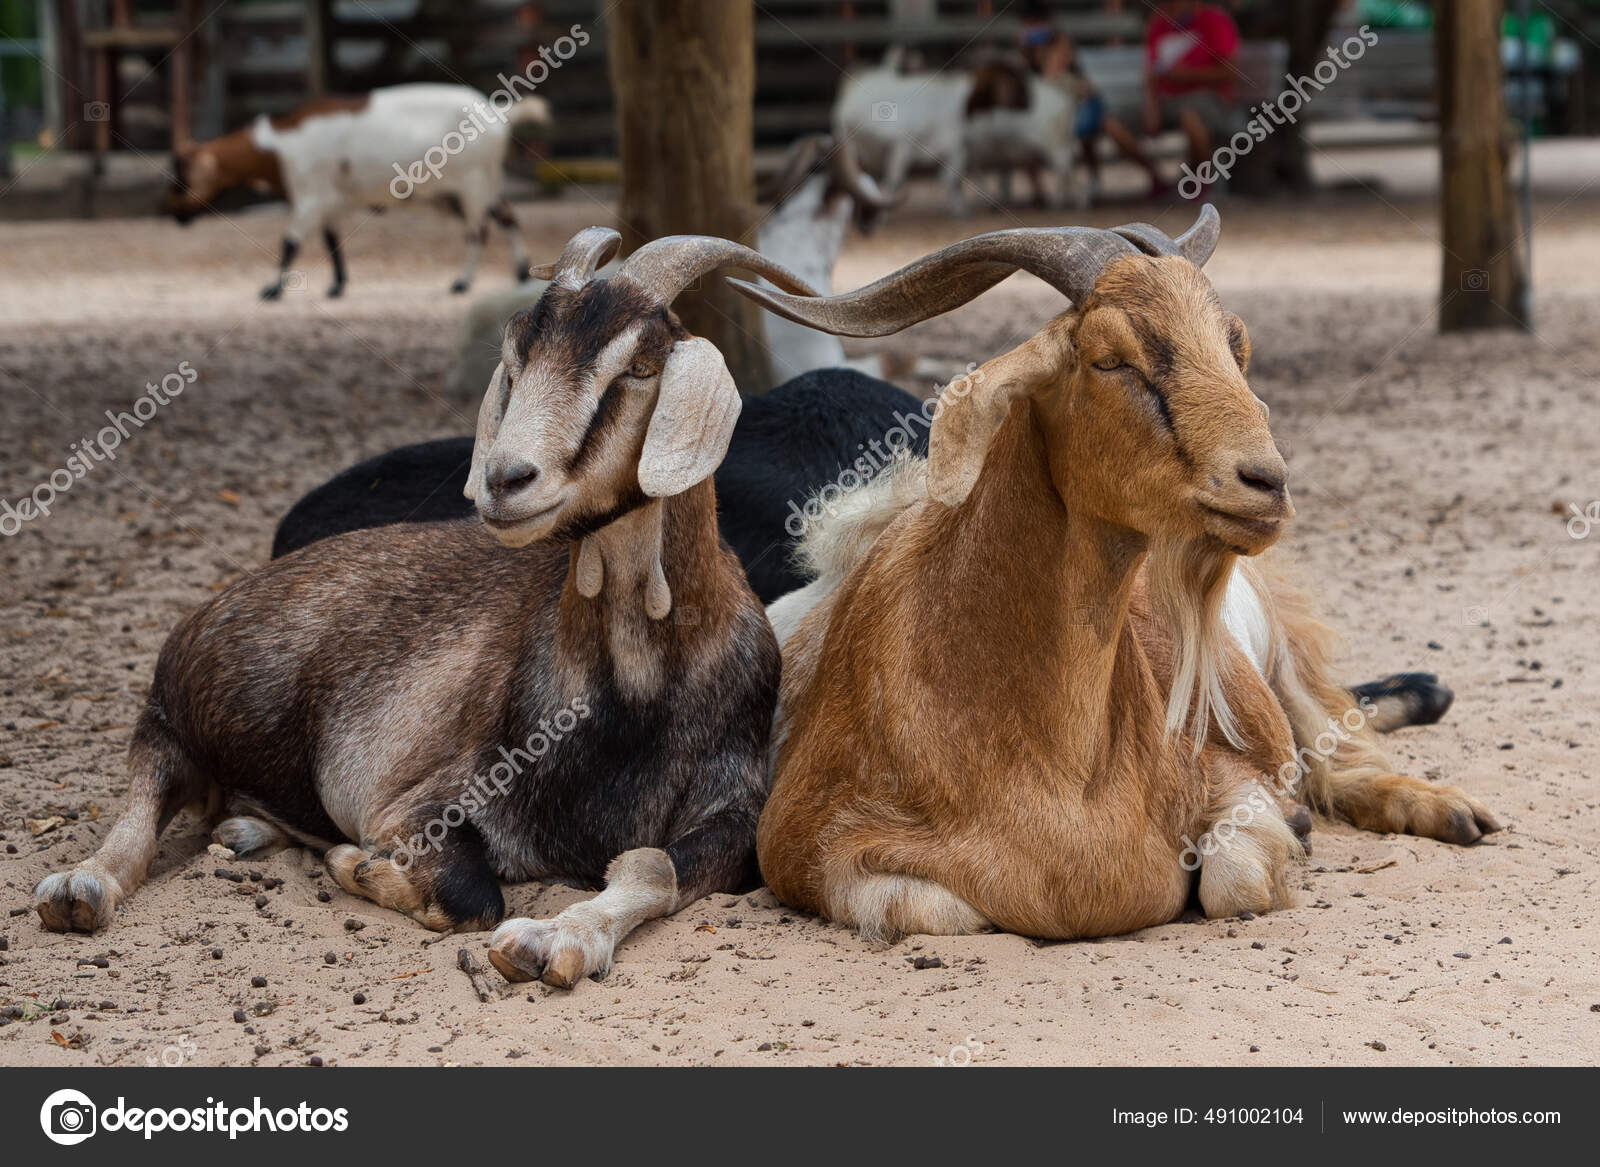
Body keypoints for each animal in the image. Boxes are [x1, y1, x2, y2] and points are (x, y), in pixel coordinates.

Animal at [34, 229, 814, 990]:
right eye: (517, 356)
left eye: (641, 367)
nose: (505, 479)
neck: (638, 690)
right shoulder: (419, 801)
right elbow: (471, 895)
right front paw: (358, 863)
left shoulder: (734, 813)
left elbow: (651, 864)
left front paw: (554, 939)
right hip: (186, 708)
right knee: (151, 774)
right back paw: (80, 887)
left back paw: (247, 831)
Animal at [166, 84, 549, 299]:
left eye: (182, 178)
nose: (175, 215)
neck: (279, 145)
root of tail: (499, 112)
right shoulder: (330, 202)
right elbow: (332, 242)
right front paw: (336, 286)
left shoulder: (311, 195)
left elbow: (290, 243)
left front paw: (272, 290)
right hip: (473, 186)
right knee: (506, 217)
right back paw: (519, 273)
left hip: (473, 183)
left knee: (477, 231)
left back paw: (462, 282)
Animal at [729, 208, 1500, 941]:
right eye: (1109, 359)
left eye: (1234, 342)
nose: (1264, 482)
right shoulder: (803, 849)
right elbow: (932, 909)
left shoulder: (1230, 778)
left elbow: (1236, 885)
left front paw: (1297, 834)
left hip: (1268, 668)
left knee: (1329, 740)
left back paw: (1449, 803)